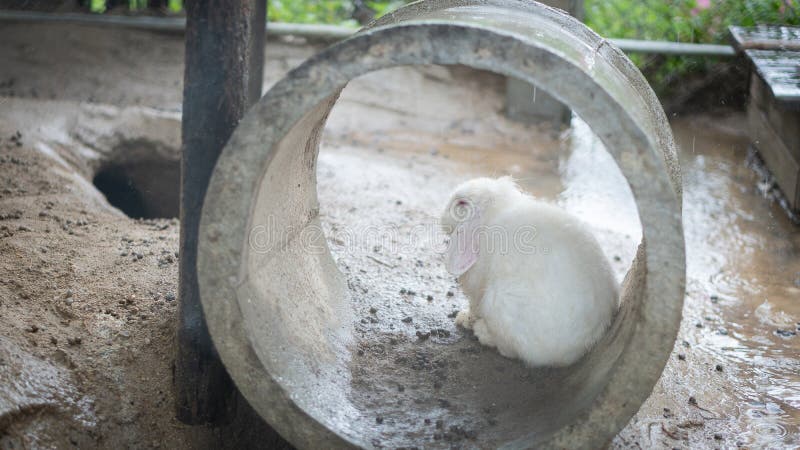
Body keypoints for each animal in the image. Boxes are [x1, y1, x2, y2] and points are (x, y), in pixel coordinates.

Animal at [440, 176, 619, 367]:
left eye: (460, 202)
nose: (442, 219)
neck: (491, 216)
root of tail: (576, 350)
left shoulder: (478, 286)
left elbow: (474, 307)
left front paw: (462, 318)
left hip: (498, 301)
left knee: (509, 350)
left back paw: (482, 333)